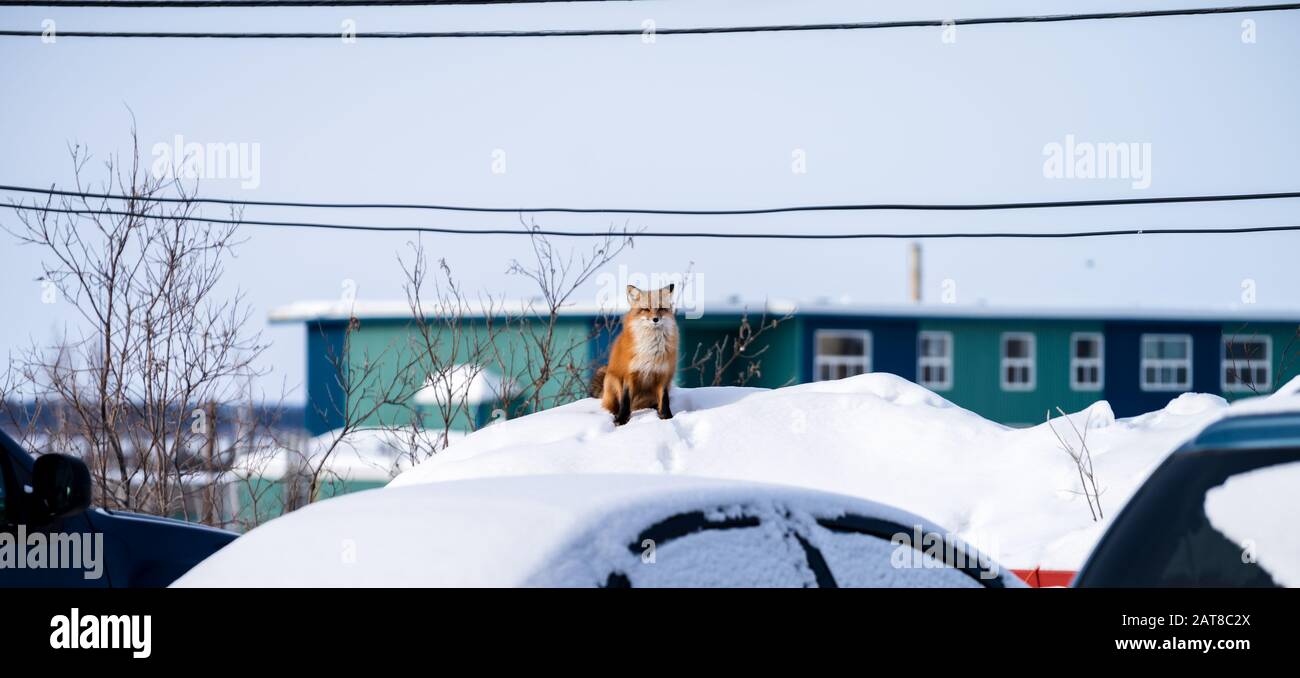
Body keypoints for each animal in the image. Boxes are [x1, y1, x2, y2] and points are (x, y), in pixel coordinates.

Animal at [590, 283, 678, 426]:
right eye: (646, 309)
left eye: (660, 308)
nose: (655, 319)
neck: (650, 347)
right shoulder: (629, 374)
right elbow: (625, 400)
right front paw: (621, 420)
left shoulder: (663, 374)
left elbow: (664, 400)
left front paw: (667, 417)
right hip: (612, 380)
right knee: (613, 406)